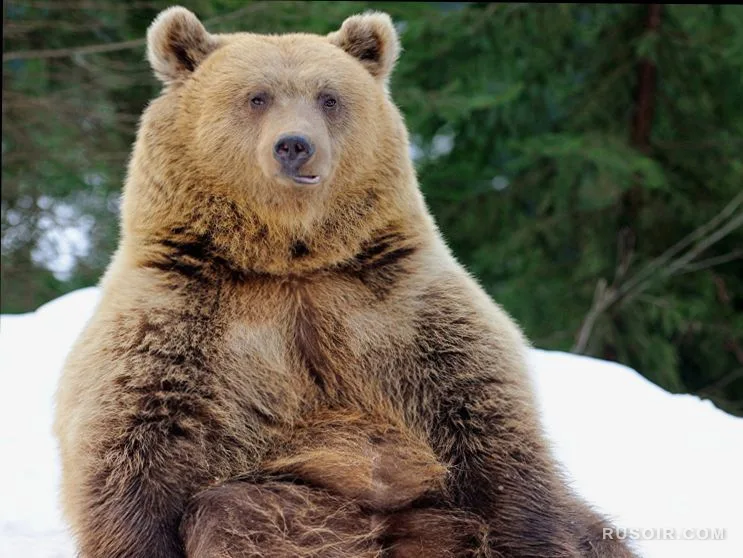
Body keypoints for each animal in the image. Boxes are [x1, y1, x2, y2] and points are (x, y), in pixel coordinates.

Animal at [53, 6, 639, 558]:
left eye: (329, 97)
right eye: (257, 97)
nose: (295, 145)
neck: (291, 260)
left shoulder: (403, 307)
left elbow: (492, 432)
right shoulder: (178, 322)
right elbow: (135, 452)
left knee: (595, 530)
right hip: (316, 513)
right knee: (238, 513)